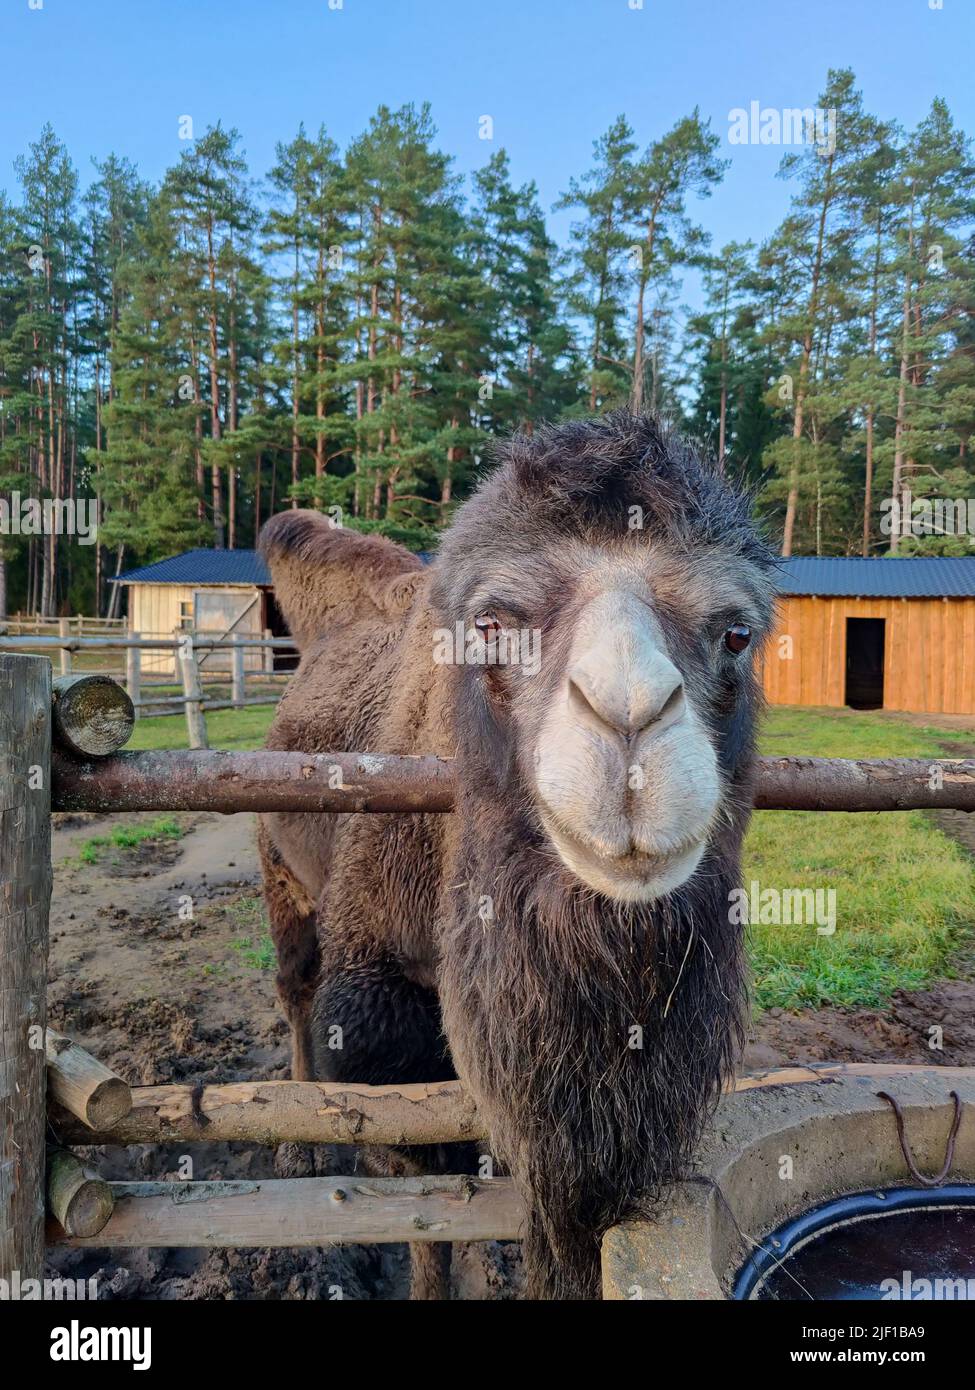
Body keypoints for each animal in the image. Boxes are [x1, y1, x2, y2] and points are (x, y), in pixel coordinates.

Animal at [257, 412, 777, 1300]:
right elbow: (422, 1185)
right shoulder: (378, 996)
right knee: (295, 988)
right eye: (492, 624)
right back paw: (298, 1147)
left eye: (736, 633)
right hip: (279, 866)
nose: (629, 717)